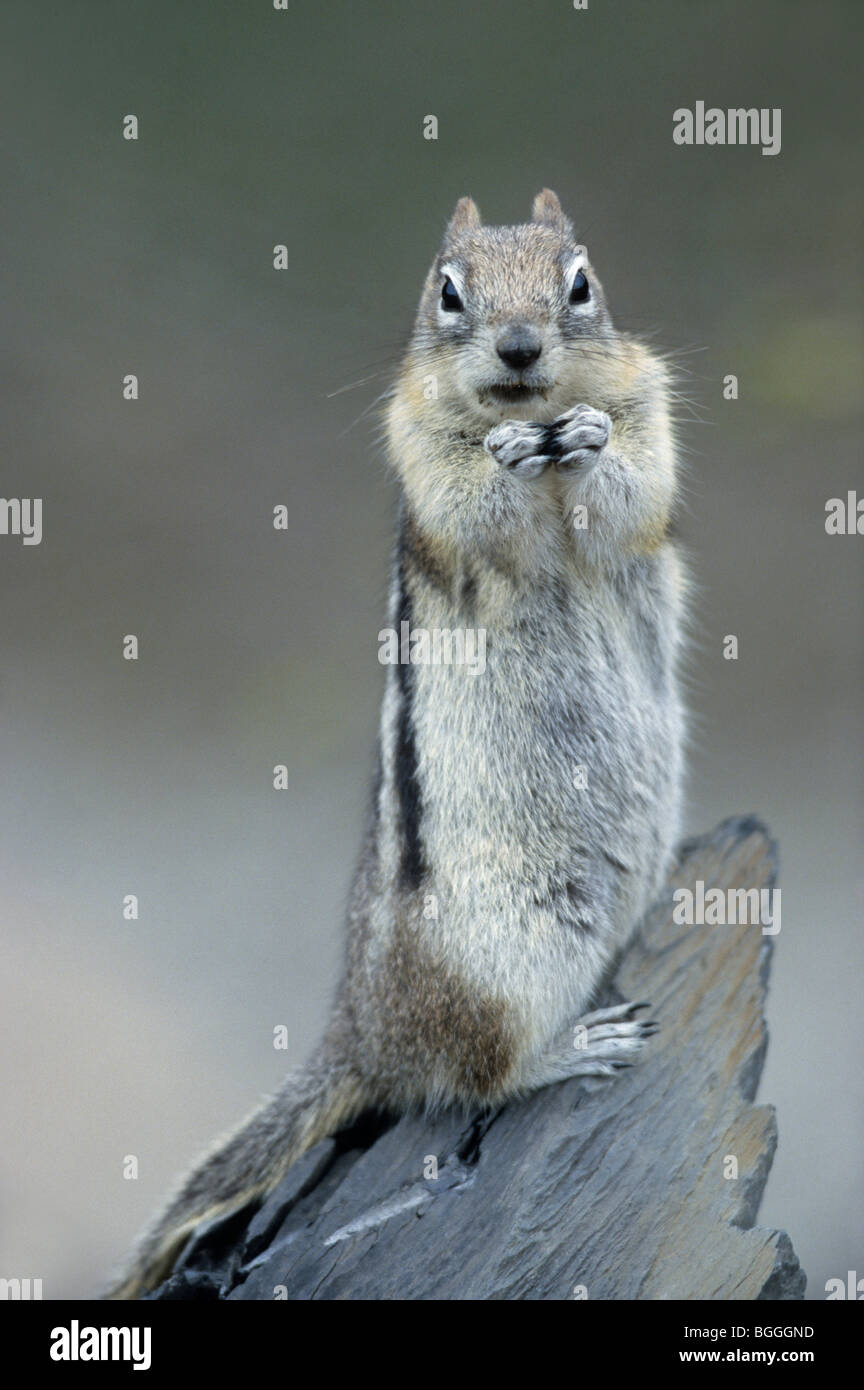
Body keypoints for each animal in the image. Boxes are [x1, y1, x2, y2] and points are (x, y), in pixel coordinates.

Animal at [109, 189, 685, 1299]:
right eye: (448, 291)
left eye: (580, 282)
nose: (519, 347)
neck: (532, 425)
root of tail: (363, 1032)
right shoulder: (421, 453)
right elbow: (478, 503)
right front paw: (509, 460)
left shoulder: (652, 411)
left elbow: (635, 485)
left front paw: (588, 436)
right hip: (507, 961)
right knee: (475, 1075)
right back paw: (575, 1045)